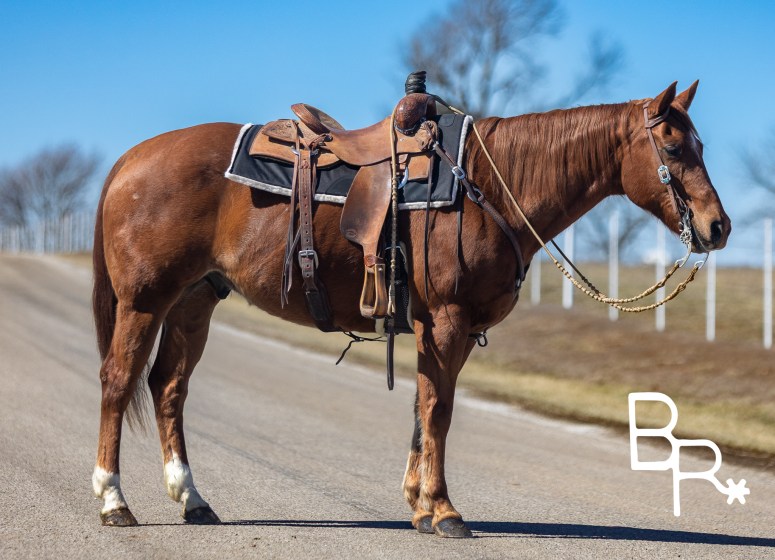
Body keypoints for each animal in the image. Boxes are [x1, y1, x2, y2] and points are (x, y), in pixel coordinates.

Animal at [91, 81, 730, 537]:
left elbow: (423, 409)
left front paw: (419, 505)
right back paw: (113, 500)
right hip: (144, 301)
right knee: (119, 381)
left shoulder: (444, 329)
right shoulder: (445, 320)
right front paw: (444, 511)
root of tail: (131, 159)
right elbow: (439, 411)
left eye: (703, 145)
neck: (488, 186)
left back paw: (192, 500)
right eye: (675, 147)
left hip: (194, 301)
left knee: (168, 387)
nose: (717, 227)